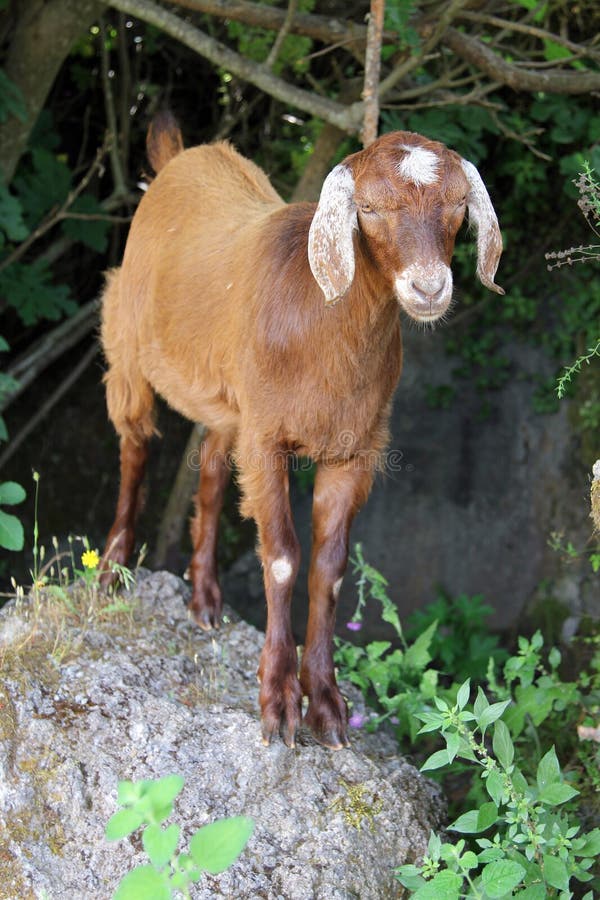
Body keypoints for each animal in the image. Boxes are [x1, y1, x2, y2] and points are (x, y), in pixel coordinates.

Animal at [100, 111, 503, 750]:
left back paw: (205, 598)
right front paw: (279, 702)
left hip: (227, 400)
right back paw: (114, 566)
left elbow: (329, 569)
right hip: (129, 340)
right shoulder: (267, 439)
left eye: (459, 204)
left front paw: (328, 706)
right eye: (370, 208)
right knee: (135, 443)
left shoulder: (354, 449)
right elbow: (284, 557)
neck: (320, 327)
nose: (429, 289)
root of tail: (180, 157)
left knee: (210, 472)